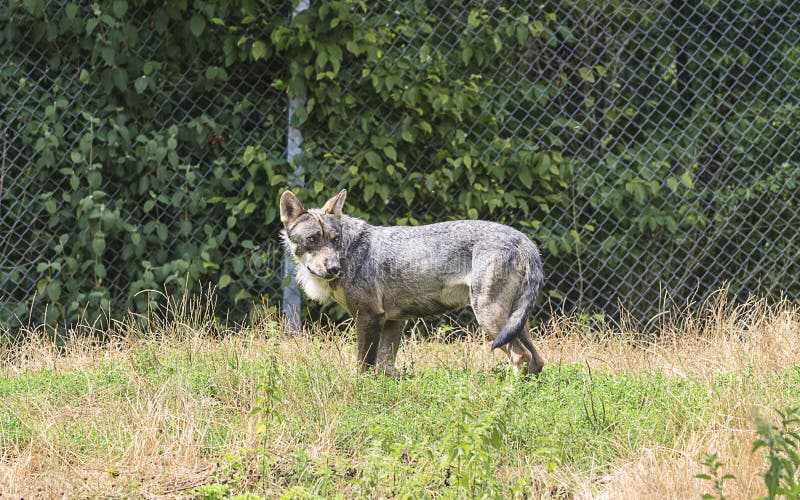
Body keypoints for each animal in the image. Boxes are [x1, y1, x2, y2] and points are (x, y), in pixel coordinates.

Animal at [279, 189, 545, 377]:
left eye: (335, 239)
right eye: (313, 239)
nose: (334, 268)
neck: (349, 250)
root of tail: (524, 240)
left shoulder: (369, 316)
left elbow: (363, 368)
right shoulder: (393, 321)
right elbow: (384, 368)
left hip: (489, 319)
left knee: (521, 357)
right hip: (515, 323)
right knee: (538, 360)